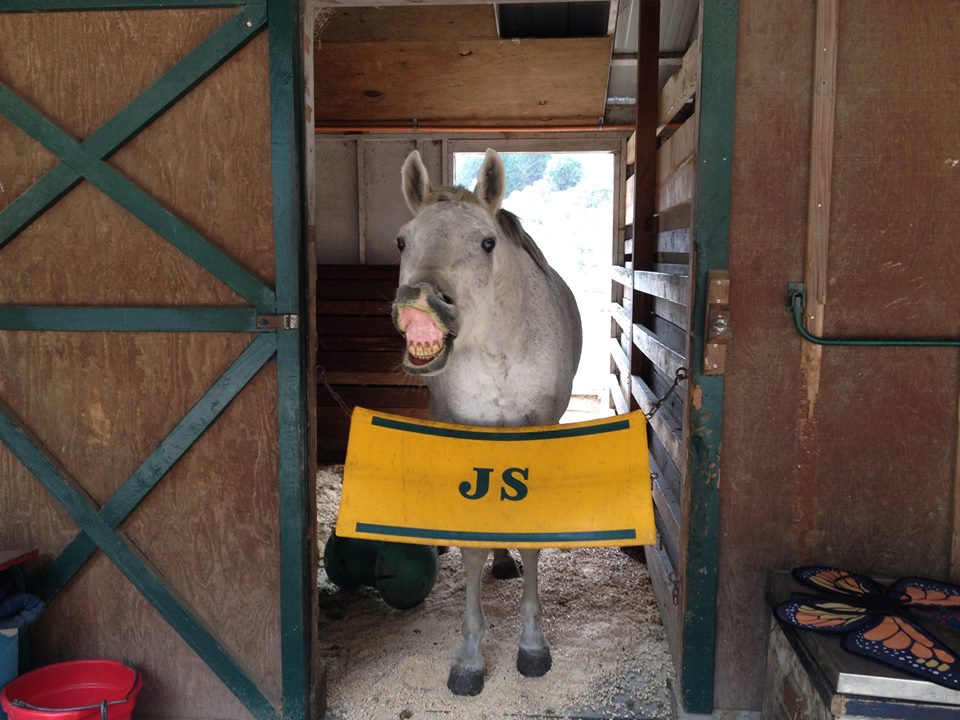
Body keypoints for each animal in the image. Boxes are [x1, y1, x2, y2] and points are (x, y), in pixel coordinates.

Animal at [391, 148, 583, 696]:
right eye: (402, 239)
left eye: (487, 242)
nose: (421, 302)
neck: (501, 351)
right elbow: (473, 542)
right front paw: (470, 659)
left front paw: (534, 647)